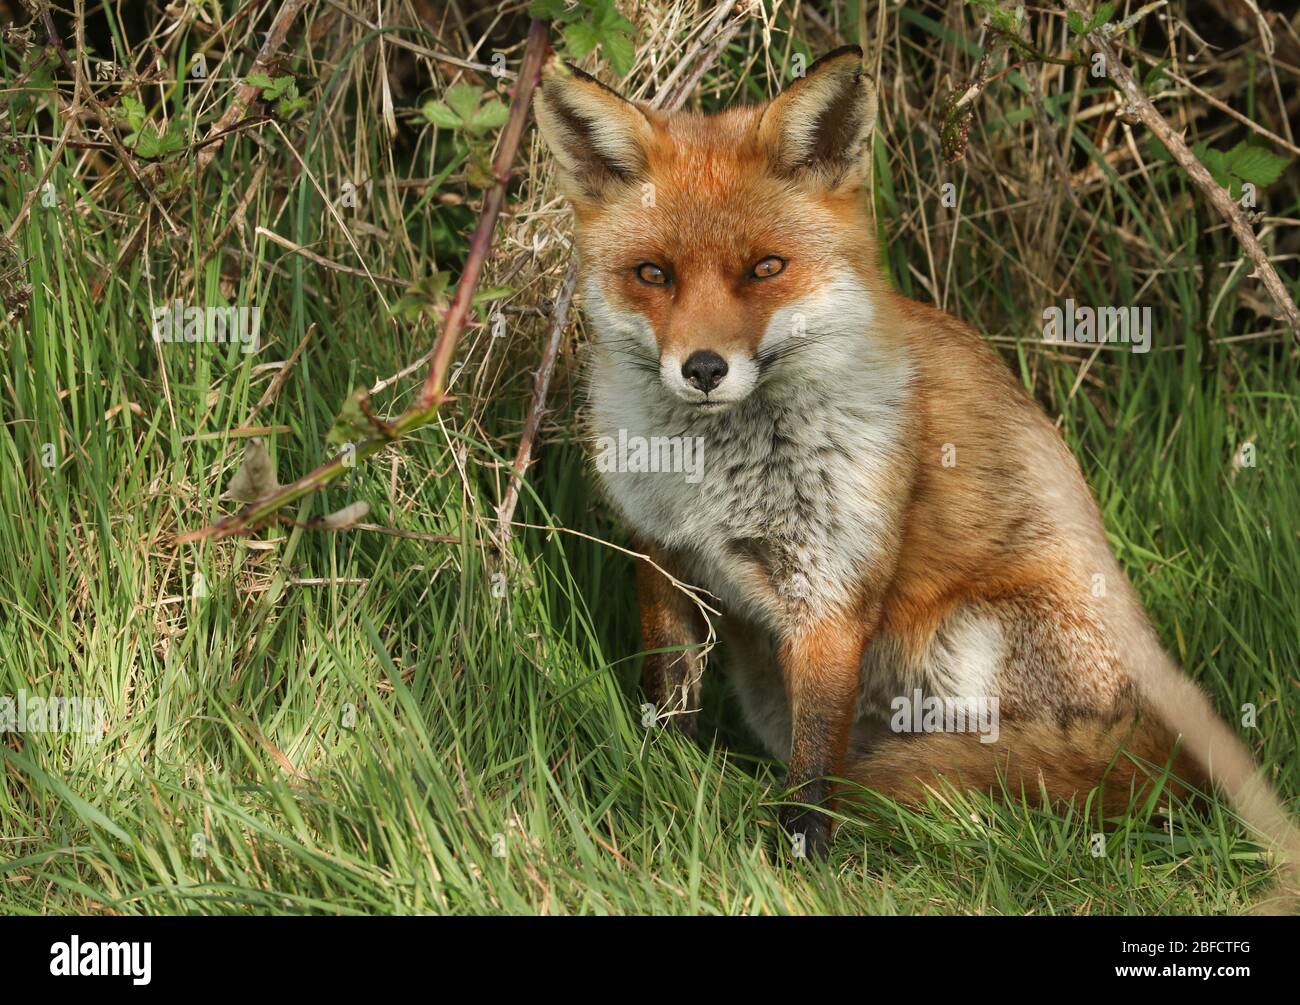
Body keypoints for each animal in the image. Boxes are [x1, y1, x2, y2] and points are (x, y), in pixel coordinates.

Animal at [533, 44, 1300, 878]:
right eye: (654, 274)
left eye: (765, 268)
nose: (703, 368)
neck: (713, 474)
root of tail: (1170, 746)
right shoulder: (661, 550)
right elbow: (668, 692)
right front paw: (661, 781)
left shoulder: (832, 590)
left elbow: (815, 761)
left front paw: (802, 853)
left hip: (967, 635)